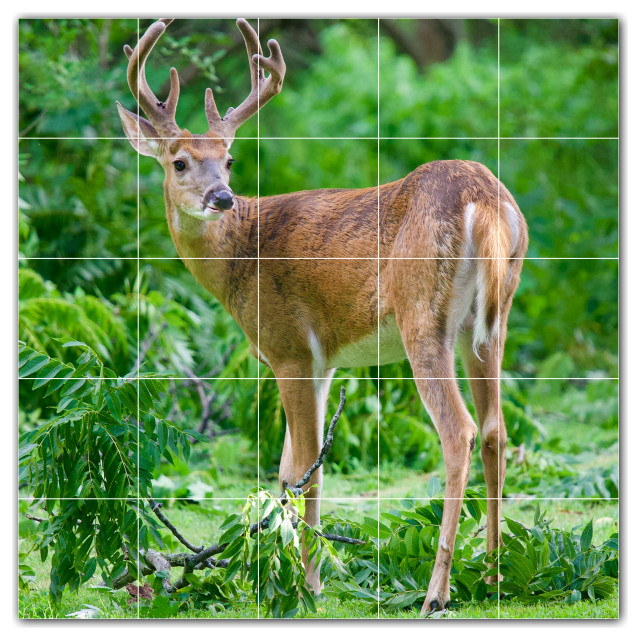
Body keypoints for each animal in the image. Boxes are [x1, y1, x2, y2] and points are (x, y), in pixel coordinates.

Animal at [116, 19, 528, 614]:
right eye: (181, 161)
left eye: (230, 159)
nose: (222, 197)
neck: (243, 255)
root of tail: (488, 203)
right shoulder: (324, 360)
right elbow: (295, 468)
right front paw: (290, 574)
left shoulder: (288, 347)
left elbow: (306, 467)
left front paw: (308, 583)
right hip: (491, 319)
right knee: (496, 428)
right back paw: (493, 574)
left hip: (422, 316)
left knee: (461, 432)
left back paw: (436, 593)